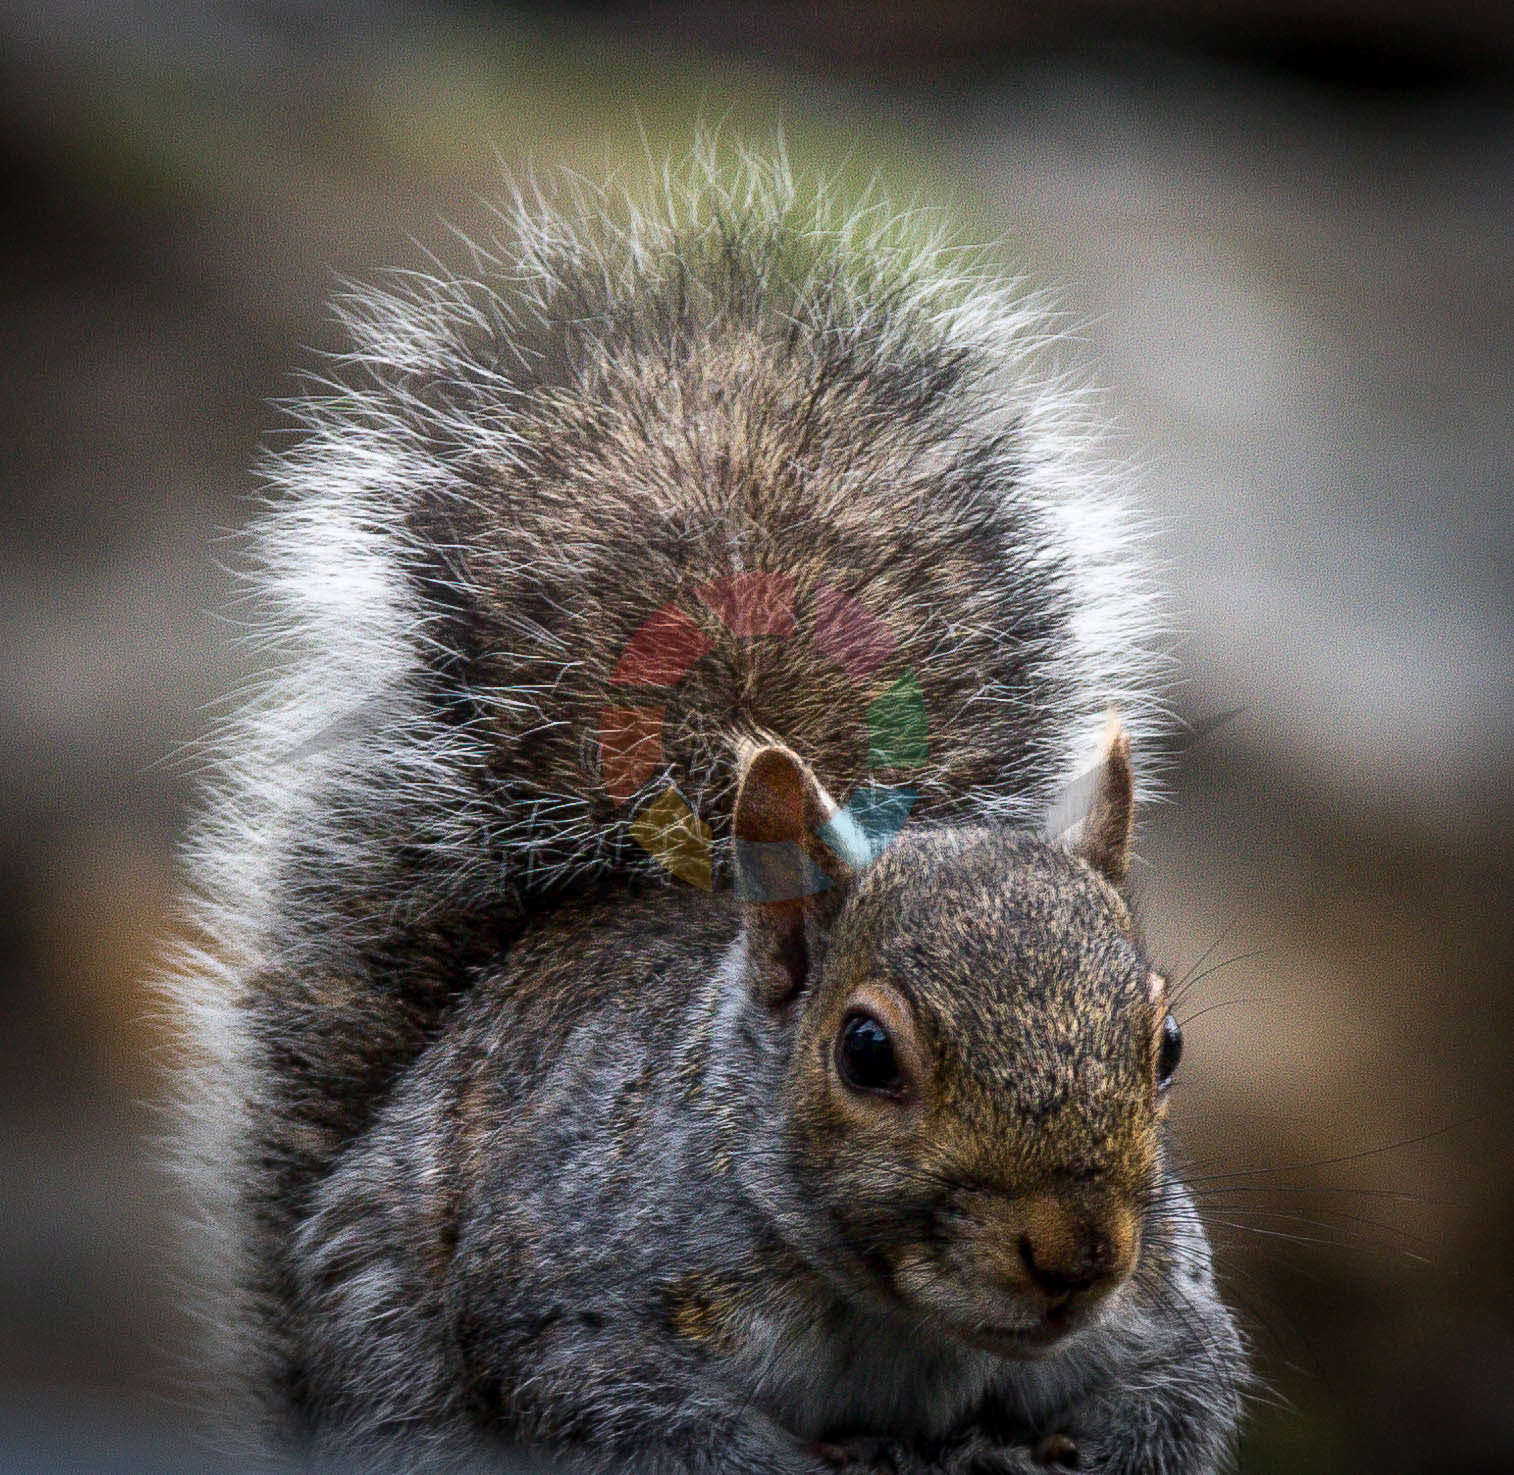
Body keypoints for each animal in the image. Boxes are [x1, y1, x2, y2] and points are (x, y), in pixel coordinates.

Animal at [166, 151, 1247, 1473]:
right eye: (865, 1051)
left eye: (1167, 1044)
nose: (1075, 1255)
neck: (901, 1329)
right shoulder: (571, 1291)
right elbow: (613, 1396)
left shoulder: (1166, 1304)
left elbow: (1188, 1387)